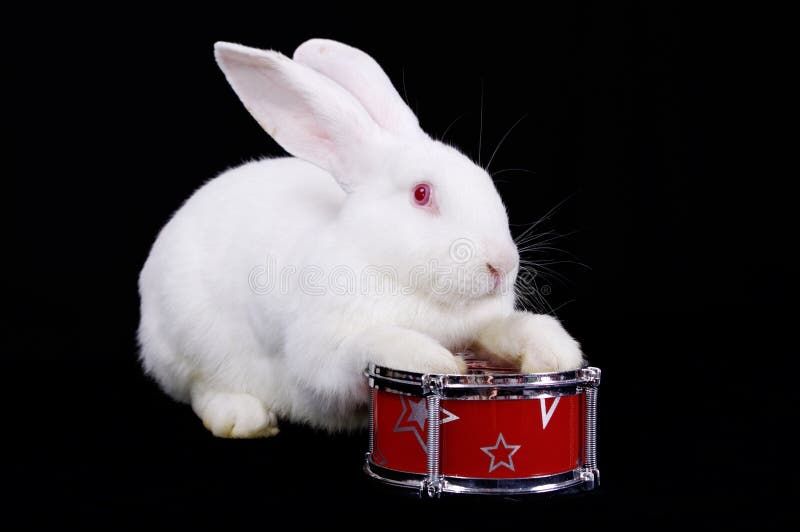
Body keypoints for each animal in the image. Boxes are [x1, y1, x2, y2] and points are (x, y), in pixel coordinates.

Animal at [137, 39, 584, 438]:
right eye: (421, 194)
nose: (502, 265)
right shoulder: (322, 358)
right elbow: (371, 344)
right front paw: (435, 361)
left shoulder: (478, 329)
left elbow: (512, 329)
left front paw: (555, 353)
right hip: (188, 341)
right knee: (199, 386)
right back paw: (242, 417)